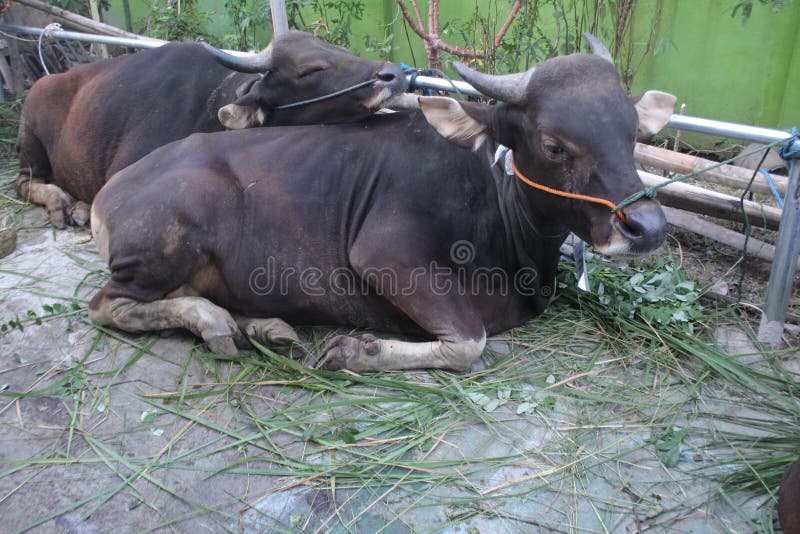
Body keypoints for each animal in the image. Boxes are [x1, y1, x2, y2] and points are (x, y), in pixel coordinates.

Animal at [15, 30, 406, 228]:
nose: (393, 75)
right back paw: (61, 203)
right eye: (310, 70)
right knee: (25, 182)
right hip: (29, 144)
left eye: (337, 48)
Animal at [88, 35, 675, 372]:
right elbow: (470, 341)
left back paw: (264, 327)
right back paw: (212, 323)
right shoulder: (383, 253)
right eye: (554, 145)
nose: (645, 227)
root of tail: (106, 194)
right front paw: (358, 350)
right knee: (107, 304)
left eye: (632, 133)